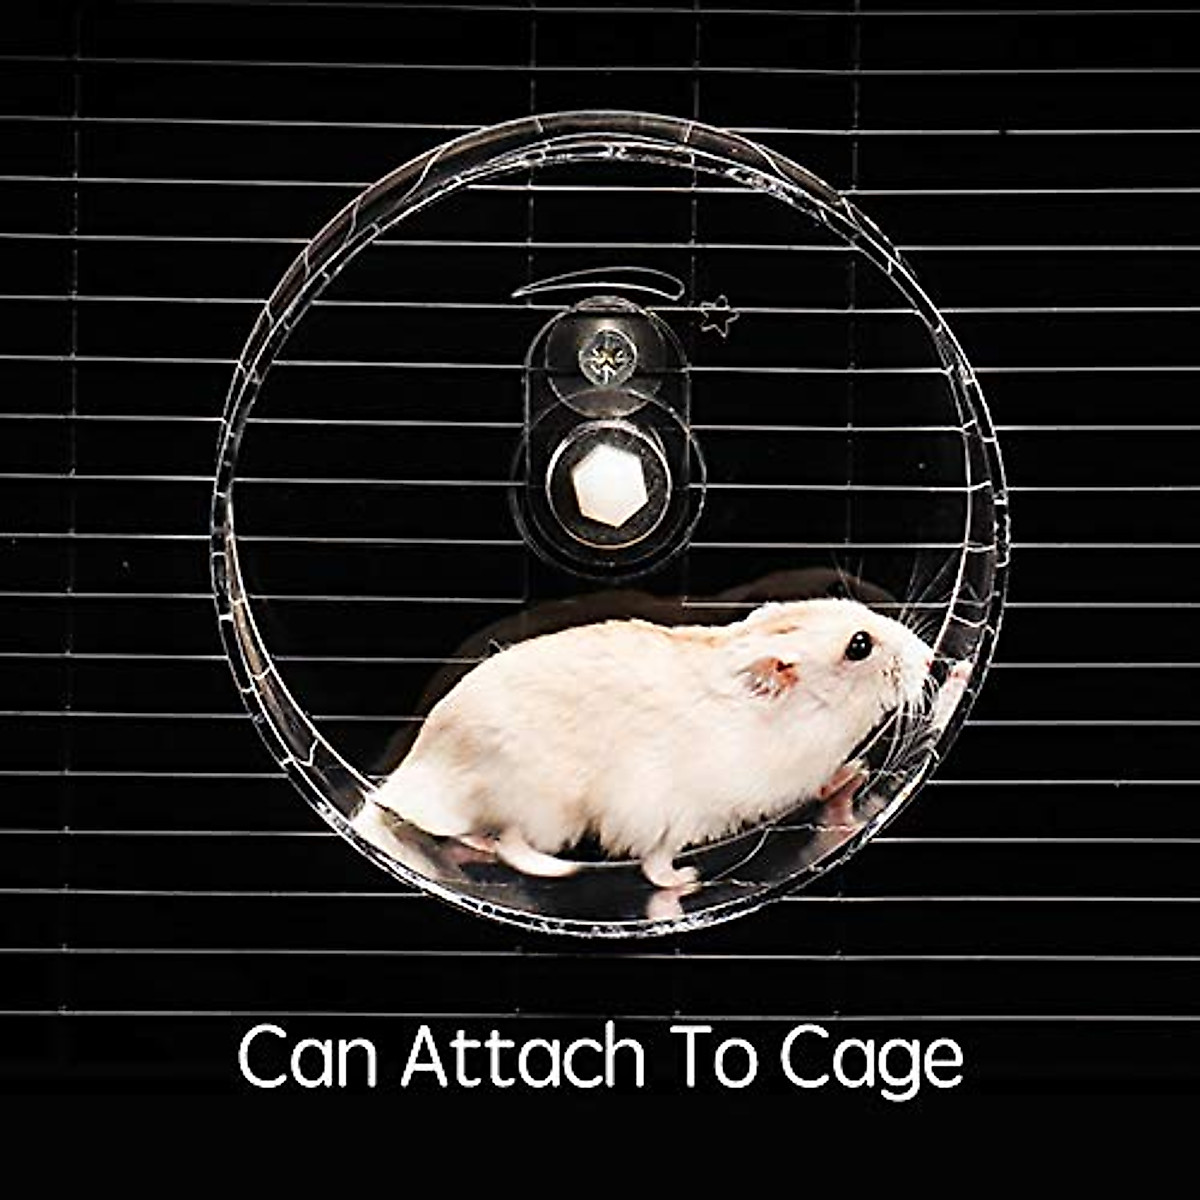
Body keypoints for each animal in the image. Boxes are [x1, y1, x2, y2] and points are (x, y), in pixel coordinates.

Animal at [353, 597, 935, 891]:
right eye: (859, 646)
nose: (932, 658)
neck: (806, 722)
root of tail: (411, 774)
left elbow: (828, 782)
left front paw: (856, 771)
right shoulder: (667, 813)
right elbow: (657, 861)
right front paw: (686, 879)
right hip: (541, 804)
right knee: (510, 844)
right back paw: (559, 868)